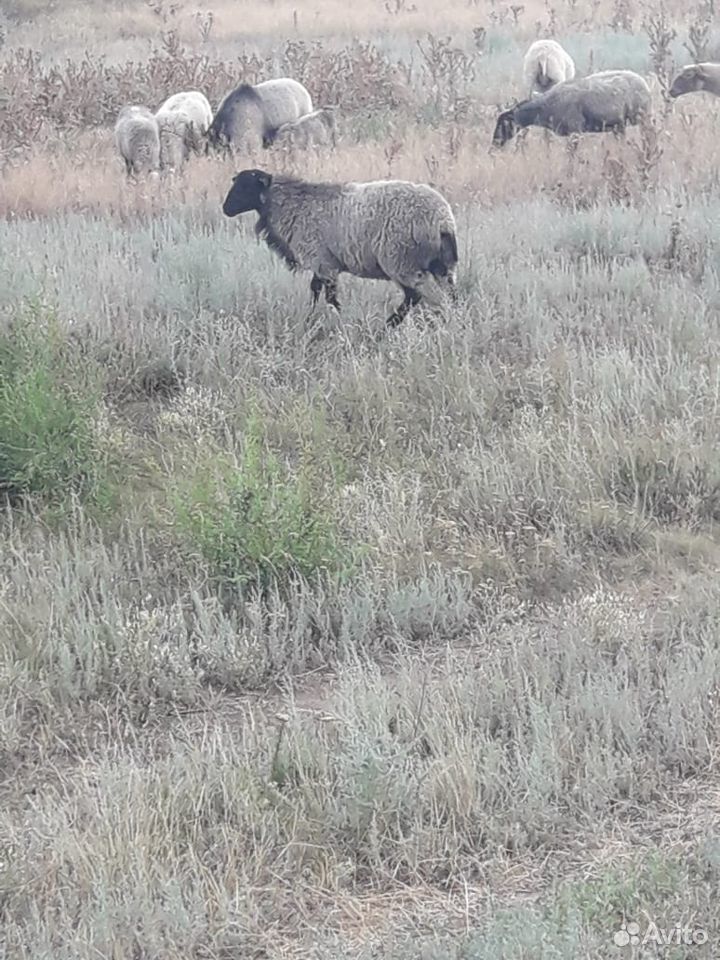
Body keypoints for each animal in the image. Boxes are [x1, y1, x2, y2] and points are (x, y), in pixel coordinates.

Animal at [221, 169, 458, 329]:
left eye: (245, 186)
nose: (226, 209)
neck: (292, 205)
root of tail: (442, 220)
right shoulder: (323, 263)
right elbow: (315, 290)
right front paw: (310, 319)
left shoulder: (322, 262)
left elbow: (329, 297)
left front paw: (339, 322)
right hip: (442, 264)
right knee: (450, 293)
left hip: (401, 260)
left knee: (413, 296)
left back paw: (386, 327)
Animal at [492, 70, 651, 146]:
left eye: (504, 123)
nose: (495, 143)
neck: (546, 107)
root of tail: (644, 83)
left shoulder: (575, 131)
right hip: (619, 126)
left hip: (644, 118)